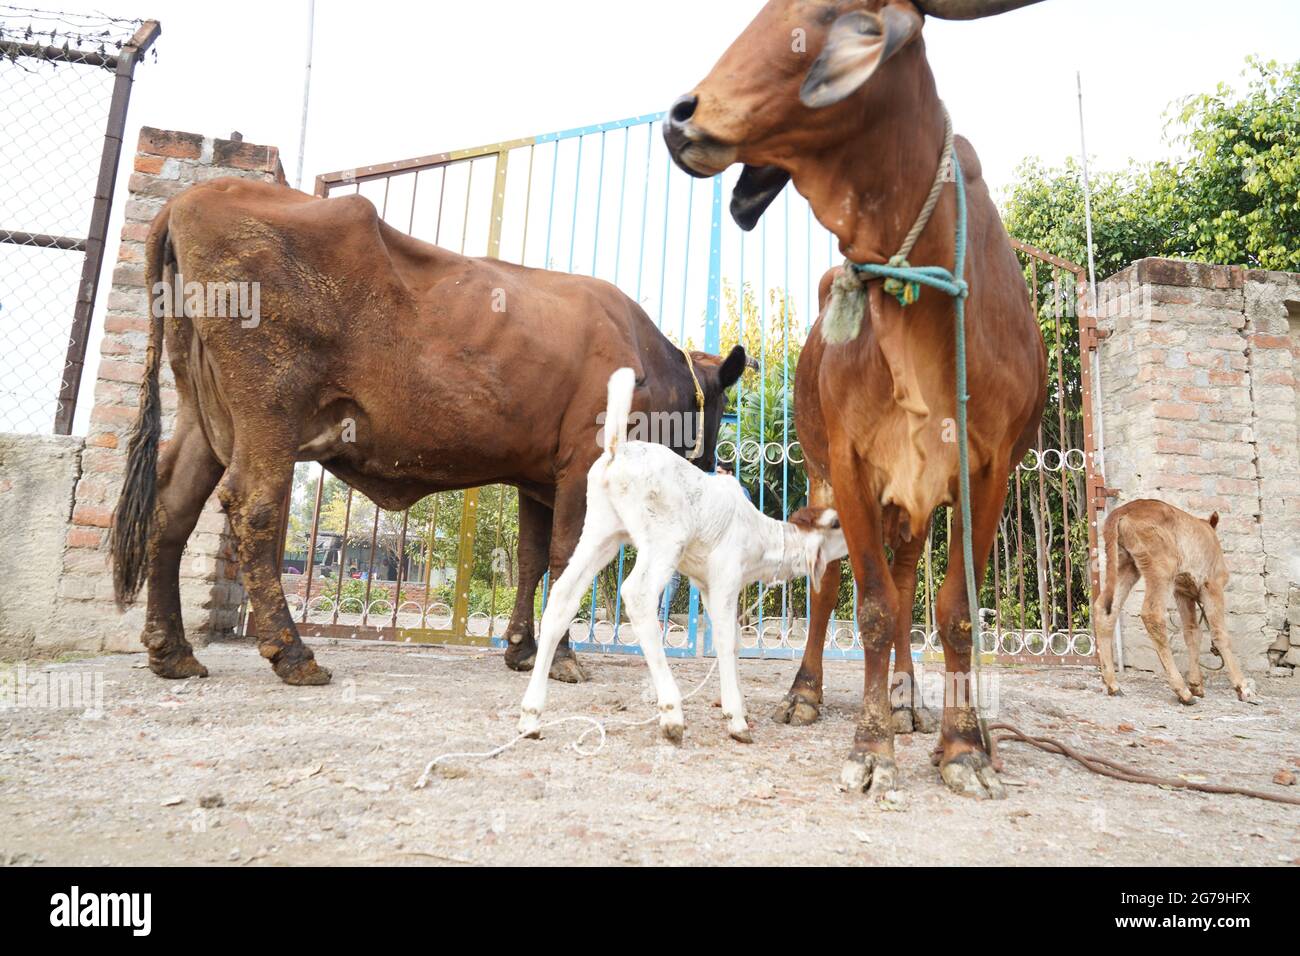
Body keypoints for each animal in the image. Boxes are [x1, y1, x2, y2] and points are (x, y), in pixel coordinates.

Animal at [110, 177, 746, 687]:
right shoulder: (582, 463)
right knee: (254, 505)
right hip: (268, 404)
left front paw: (522, 650)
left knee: (173, 506)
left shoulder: (540, 476)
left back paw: (172, 651)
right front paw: (561, 658)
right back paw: (292, 654)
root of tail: (195, 196)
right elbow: (568, 557)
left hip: (205, 410)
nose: (711, 467)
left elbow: (532, 559)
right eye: (721, 408)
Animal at [665, 0, 1049, 799]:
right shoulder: (849, 464)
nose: (681, 117)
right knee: (833, 582)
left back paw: (906, 698)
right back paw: (809, 693)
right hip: (828, 479)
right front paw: (871, 748)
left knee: (905, 585)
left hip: (916, 507)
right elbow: (867, 605)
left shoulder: (989, 469)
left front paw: (964, 745)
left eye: (834, 14)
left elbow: (953, 611)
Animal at [1093, 499, 1253, 704]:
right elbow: (1220, 634)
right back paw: (1182, 691)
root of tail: (1124, 509)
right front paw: (1242, 686)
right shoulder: (1212, 586)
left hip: (1126, 565)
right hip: (1161, 569)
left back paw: (1113, 684)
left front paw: (1196, 685)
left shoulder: (1182, 592)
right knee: (1152, 614)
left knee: (1105, 610)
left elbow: (1192, 632)